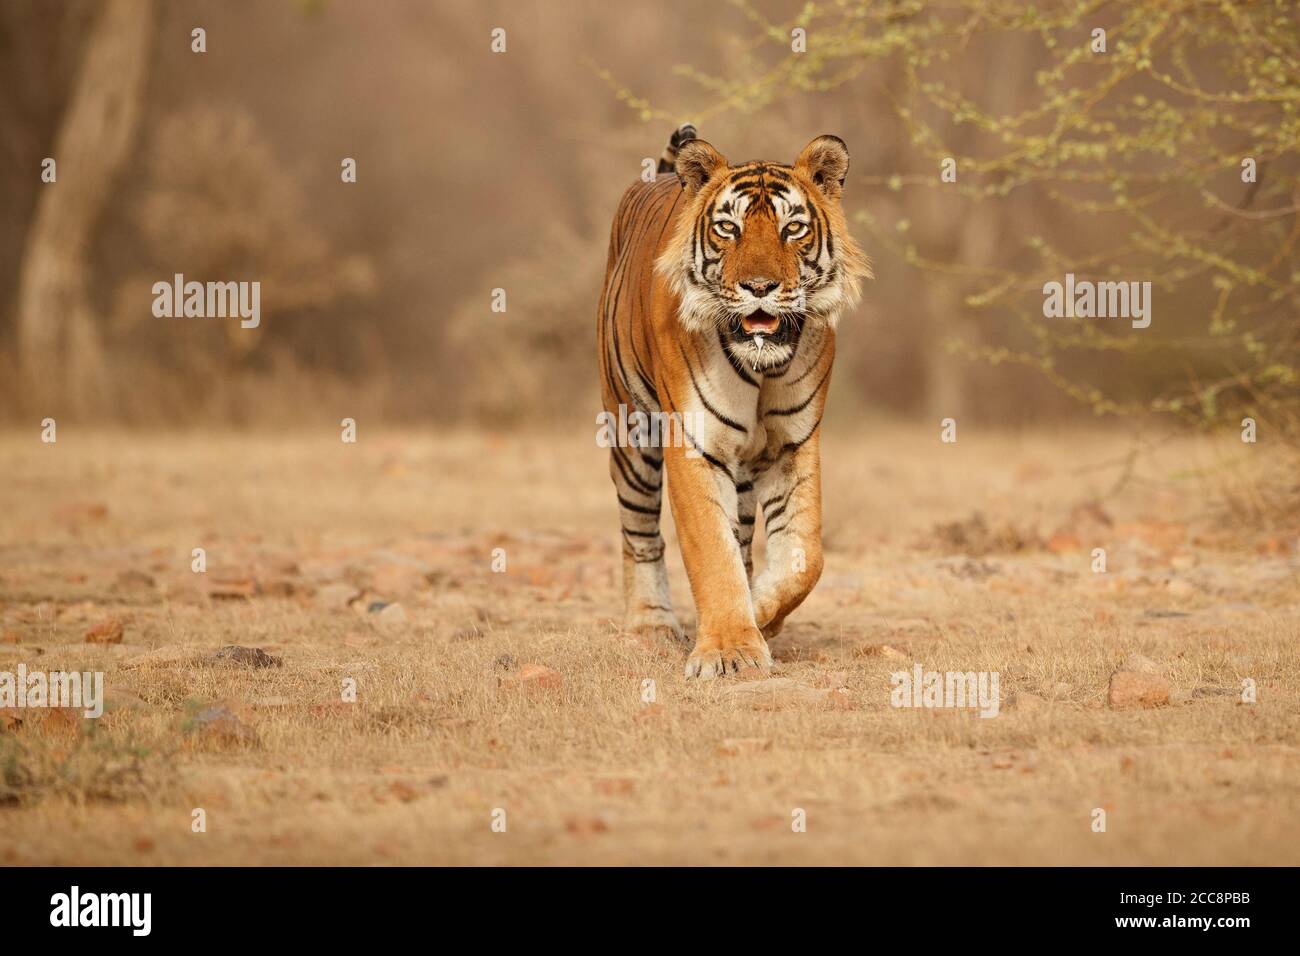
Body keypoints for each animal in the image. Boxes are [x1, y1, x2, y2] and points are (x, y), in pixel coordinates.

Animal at [597, 124, 870, 679]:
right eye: (728, 228)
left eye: (792, 229)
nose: (759, 287)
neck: (763, 368)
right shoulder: (695, 446)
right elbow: (711, 552)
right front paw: (728, 649)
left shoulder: (793, 446)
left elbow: (805, 556)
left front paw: (761, 617)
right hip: (630, 433)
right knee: (640, 533)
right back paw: (650, 625)